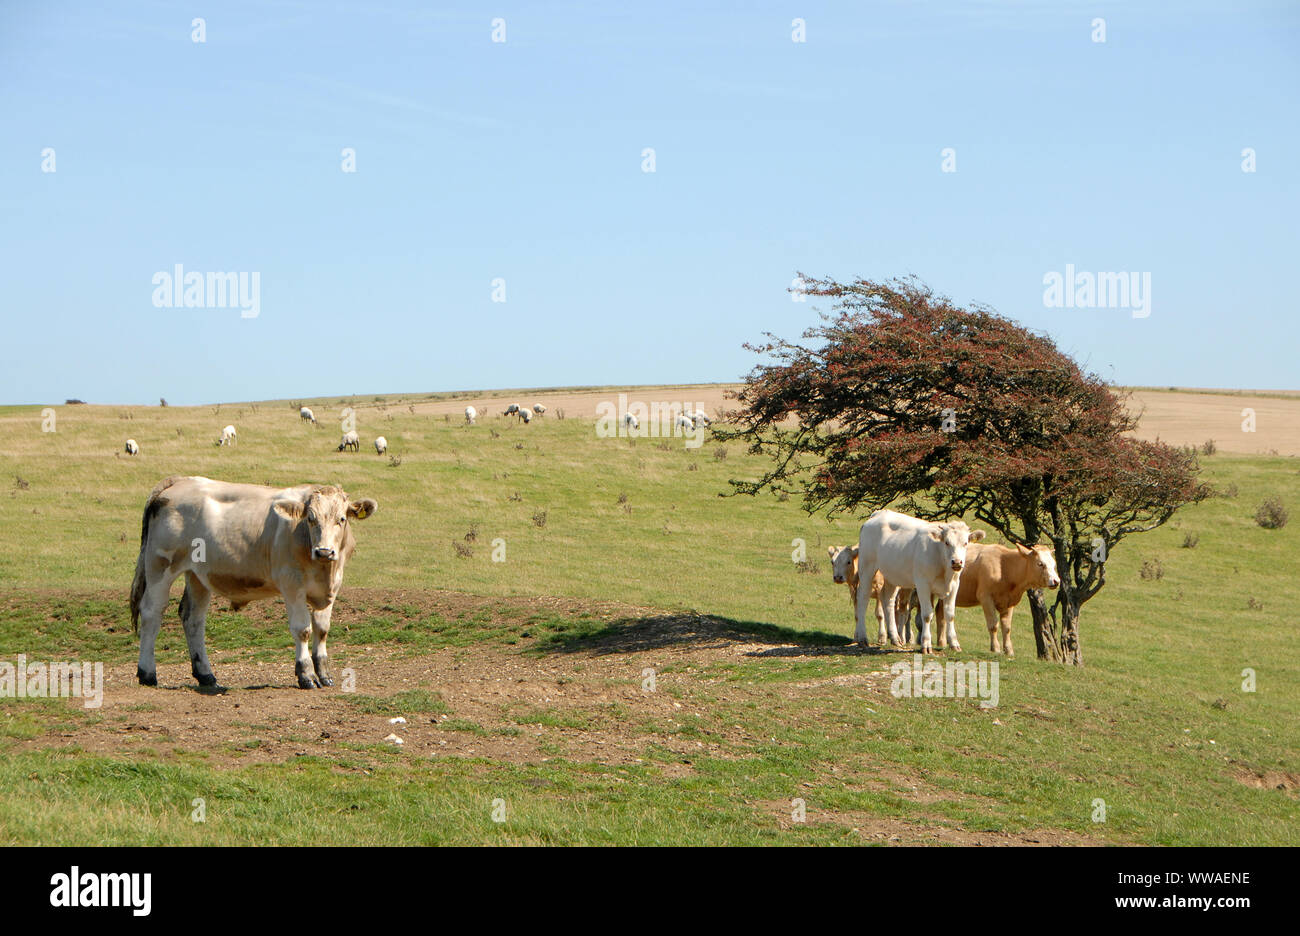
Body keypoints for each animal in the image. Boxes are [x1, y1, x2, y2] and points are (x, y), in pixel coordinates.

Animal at [129, 476, 377, 689]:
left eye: (341, 519)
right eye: (310, 518)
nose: (324, 551)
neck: (324, 570)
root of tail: (181, 480)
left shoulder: (332, 587)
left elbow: (322, 629)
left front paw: (324, 674)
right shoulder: (291, 585)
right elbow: (303, 630)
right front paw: (306, 675)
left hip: (198, 574)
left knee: (193, 618)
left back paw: (206, 675)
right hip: (160, 565)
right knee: (152, 612)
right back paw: (147, 673)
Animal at [855, 510, 984, 652]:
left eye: (965, 543)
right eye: (946, 542)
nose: (956, 562)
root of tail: (880, 513)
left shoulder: (955, 585)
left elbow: (950, 614)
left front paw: (954, 643)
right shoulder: (923, 584)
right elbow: (927, 615)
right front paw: (926, 644)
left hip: (892, 573)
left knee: (888, 600)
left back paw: (895, 638)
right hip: (867, 566)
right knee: (863, 597)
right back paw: (862, 638)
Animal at [931, 543, 1060, 657]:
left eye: (1054, 564)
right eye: (1040, 564)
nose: (1056, 581)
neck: (1004, 568)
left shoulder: (1009, 602)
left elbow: (1007, 627)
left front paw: (1009, 650)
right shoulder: (985, 597)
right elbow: (993, 625)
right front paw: (996, 648)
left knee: (940, 613)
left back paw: (942, 643)